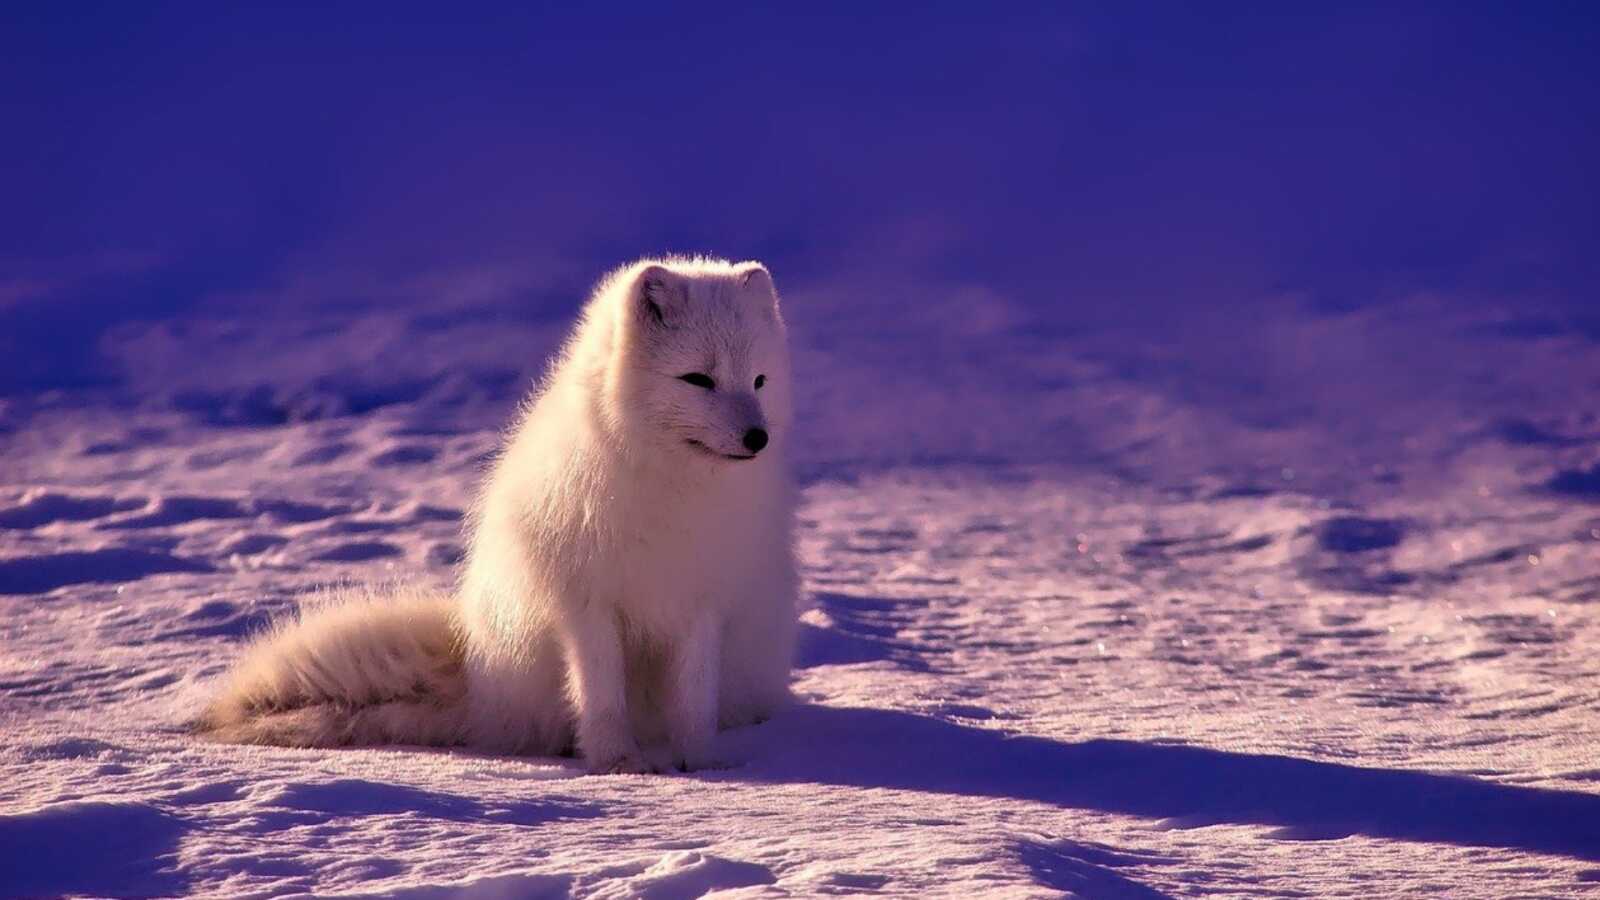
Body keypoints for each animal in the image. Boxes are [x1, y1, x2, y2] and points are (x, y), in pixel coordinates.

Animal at [197, 257, 801, 773]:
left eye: (759, 381)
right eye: (698, 379)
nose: (758, 438)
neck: (672, 489)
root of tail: (477, 677)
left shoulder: (702, 601)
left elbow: (694, 699)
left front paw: (700, 762)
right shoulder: (586, 602)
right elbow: (601, 694)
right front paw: (618, 763)